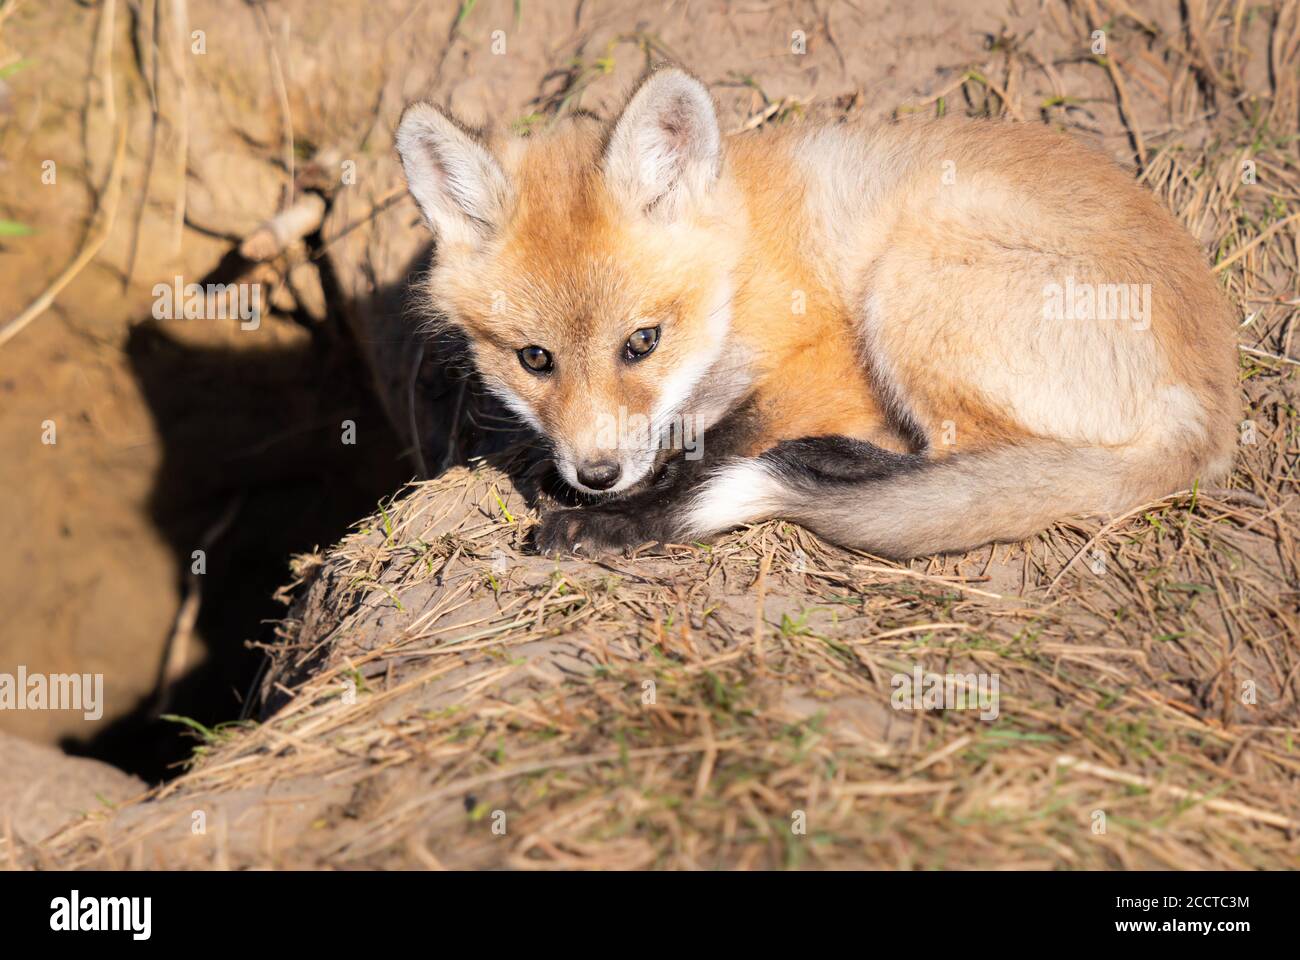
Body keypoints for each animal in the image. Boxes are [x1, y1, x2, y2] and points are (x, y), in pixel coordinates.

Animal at [394, 66, 1239, 559]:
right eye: (535, 359)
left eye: (641, 343)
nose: (597, 475)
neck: (740, 270)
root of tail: (1212, 401)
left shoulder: (833, 357)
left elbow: (719, 447)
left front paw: (627, 517)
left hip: (907, 282)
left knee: (965, 460)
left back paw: (832, 465)